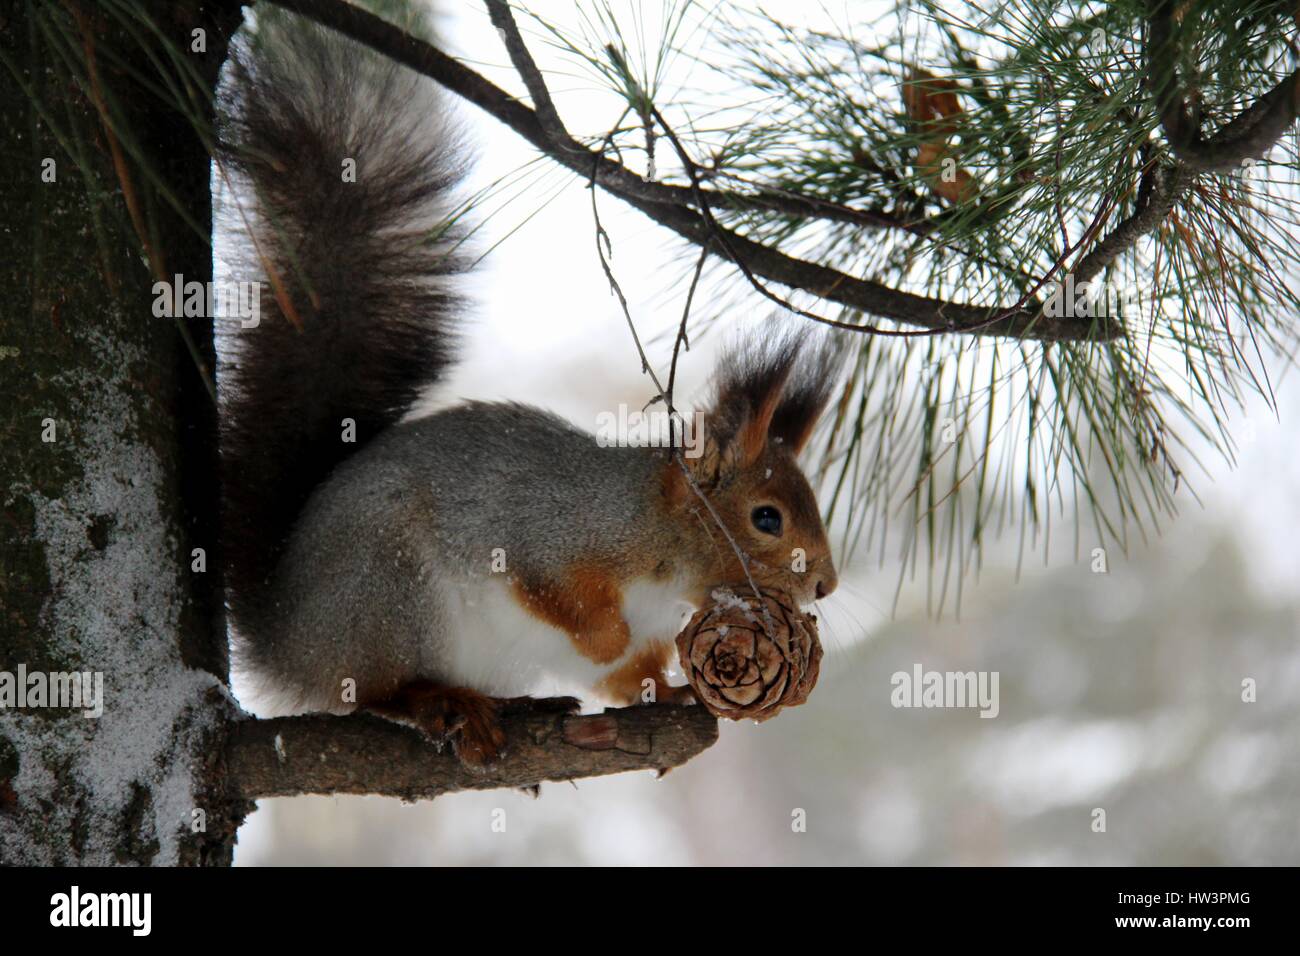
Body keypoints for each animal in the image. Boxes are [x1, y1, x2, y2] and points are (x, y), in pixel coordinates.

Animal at [216, 14, 841, 764]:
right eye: (766, 518)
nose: (826, 584)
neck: (661, 537)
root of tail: (288, 640)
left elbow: (627, 674)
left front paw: (674, 692)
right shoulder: (549, 531)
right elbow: (563, 599)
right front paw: (606, 634)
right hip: (390, 592)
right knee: (372, 690)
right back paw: (440, 701)